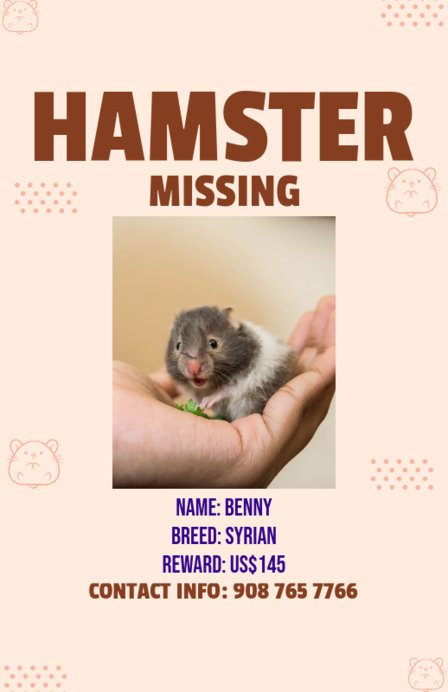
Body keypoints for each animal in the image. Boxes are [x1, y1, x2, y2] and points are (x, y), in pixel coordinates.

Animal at [165, 306, 295, 421]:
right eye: (178, 345)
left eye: (213, 343)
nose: (193, 370)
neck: (209, 386)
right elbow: (195, 396)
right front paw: (198, 405)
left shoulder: (243, 378)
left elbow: (224, 390)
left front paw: (206, 402)